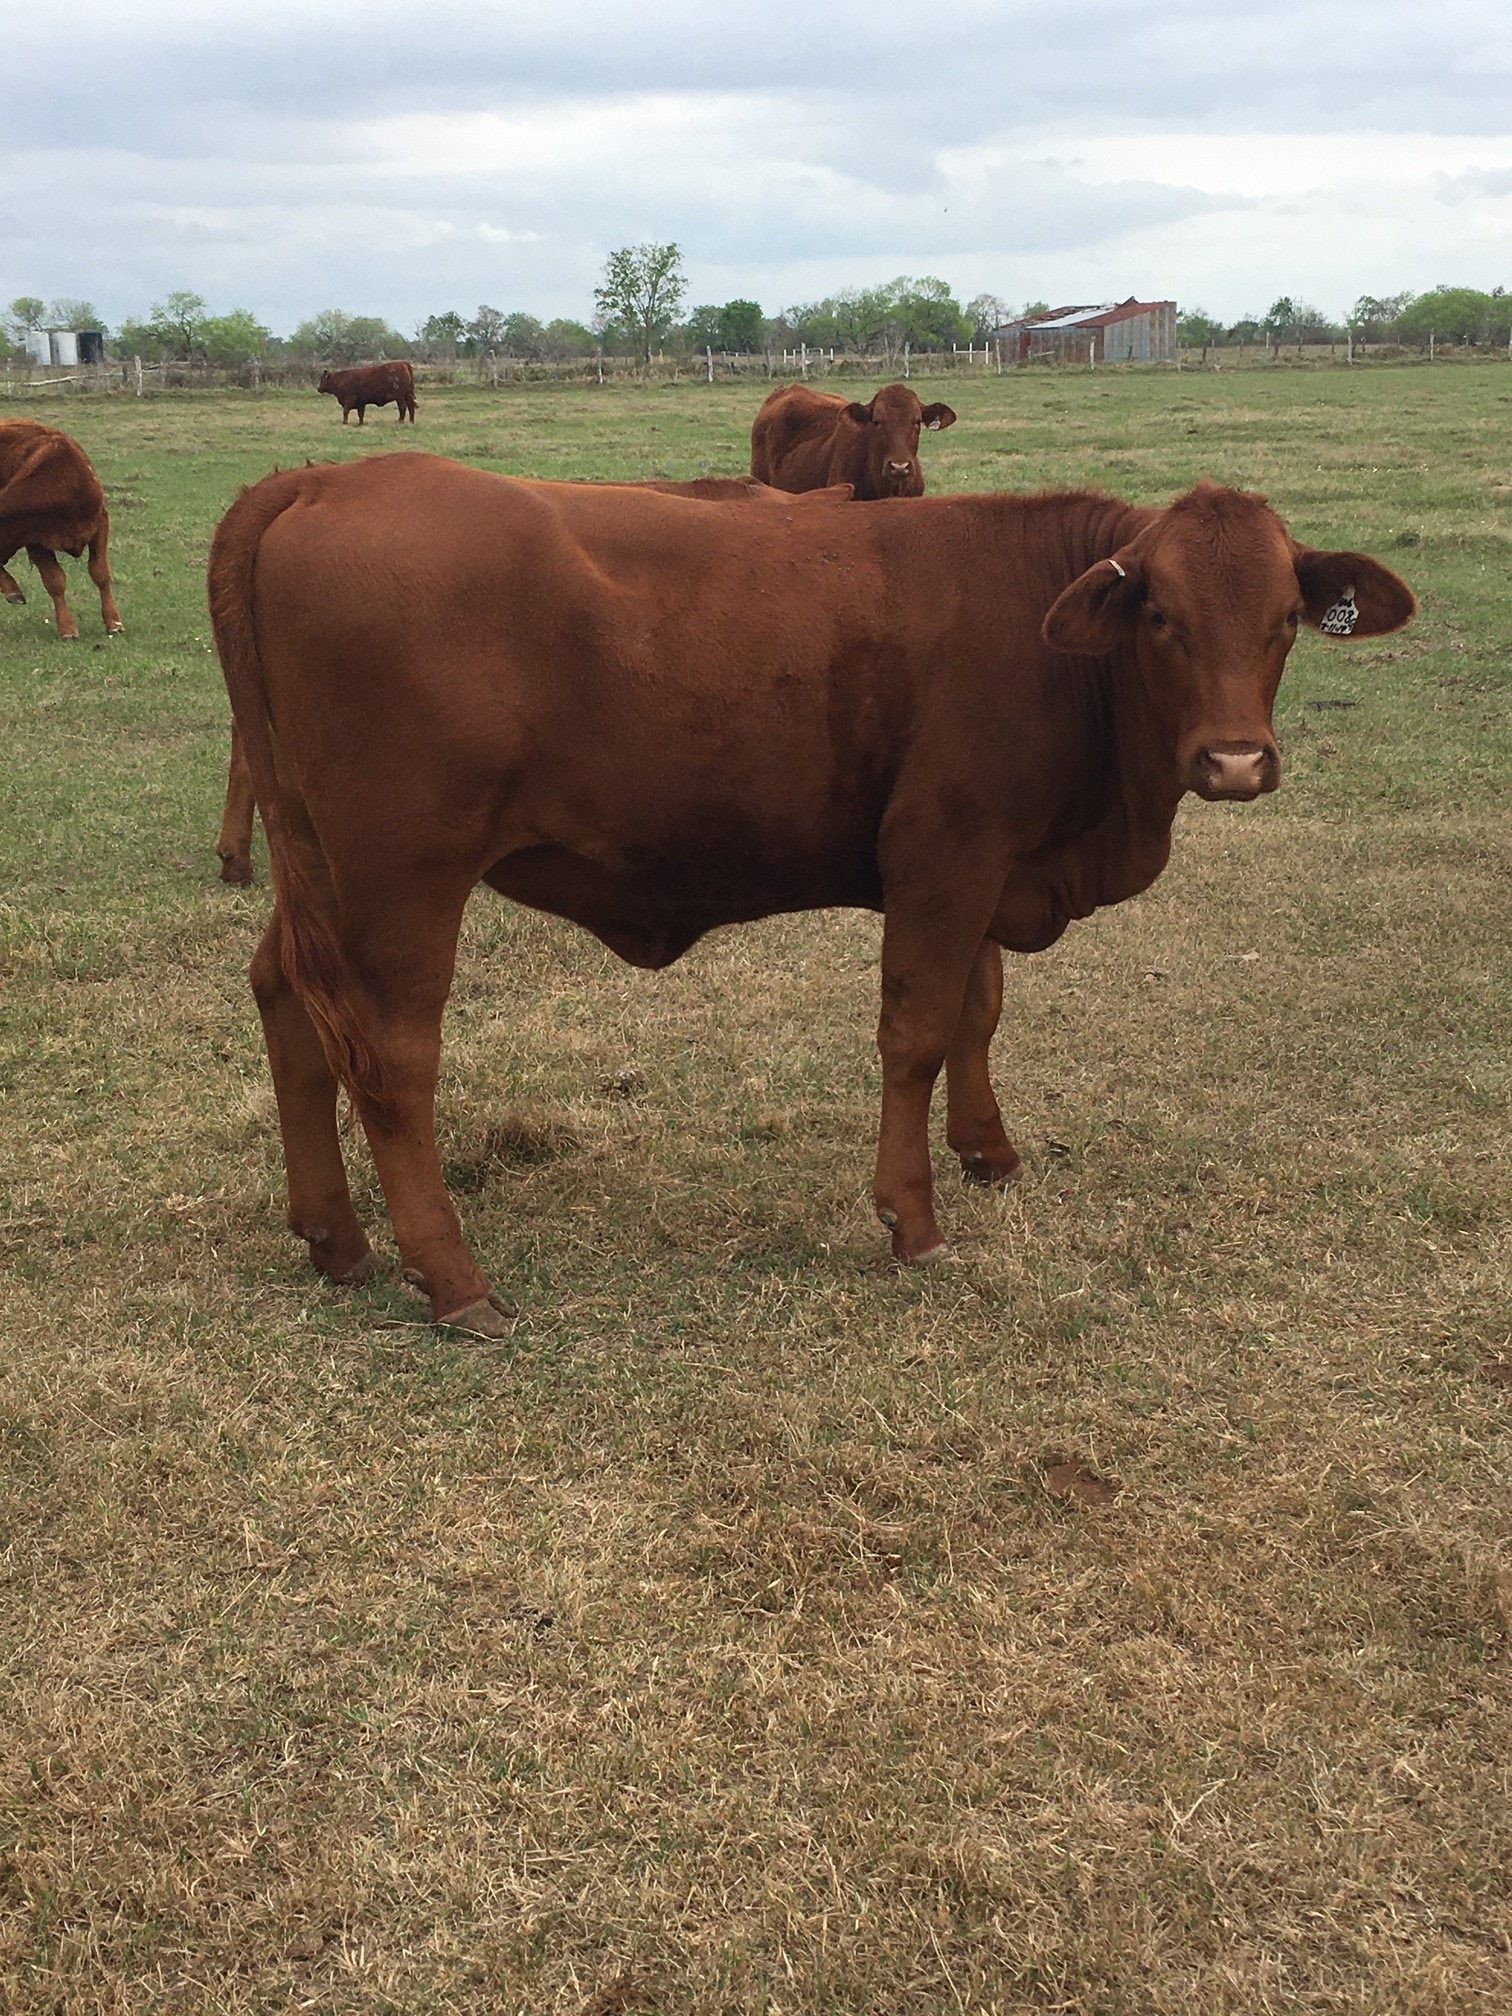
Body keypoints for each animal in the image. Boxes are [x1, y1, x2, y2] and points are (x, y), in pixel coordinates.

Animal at [0, 419, 123, 640]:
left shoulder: (100, 524)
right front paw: (67, 629)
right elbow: (55, 581)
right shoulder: (35, 540)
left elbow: (100, 573)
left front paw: (114, 623)